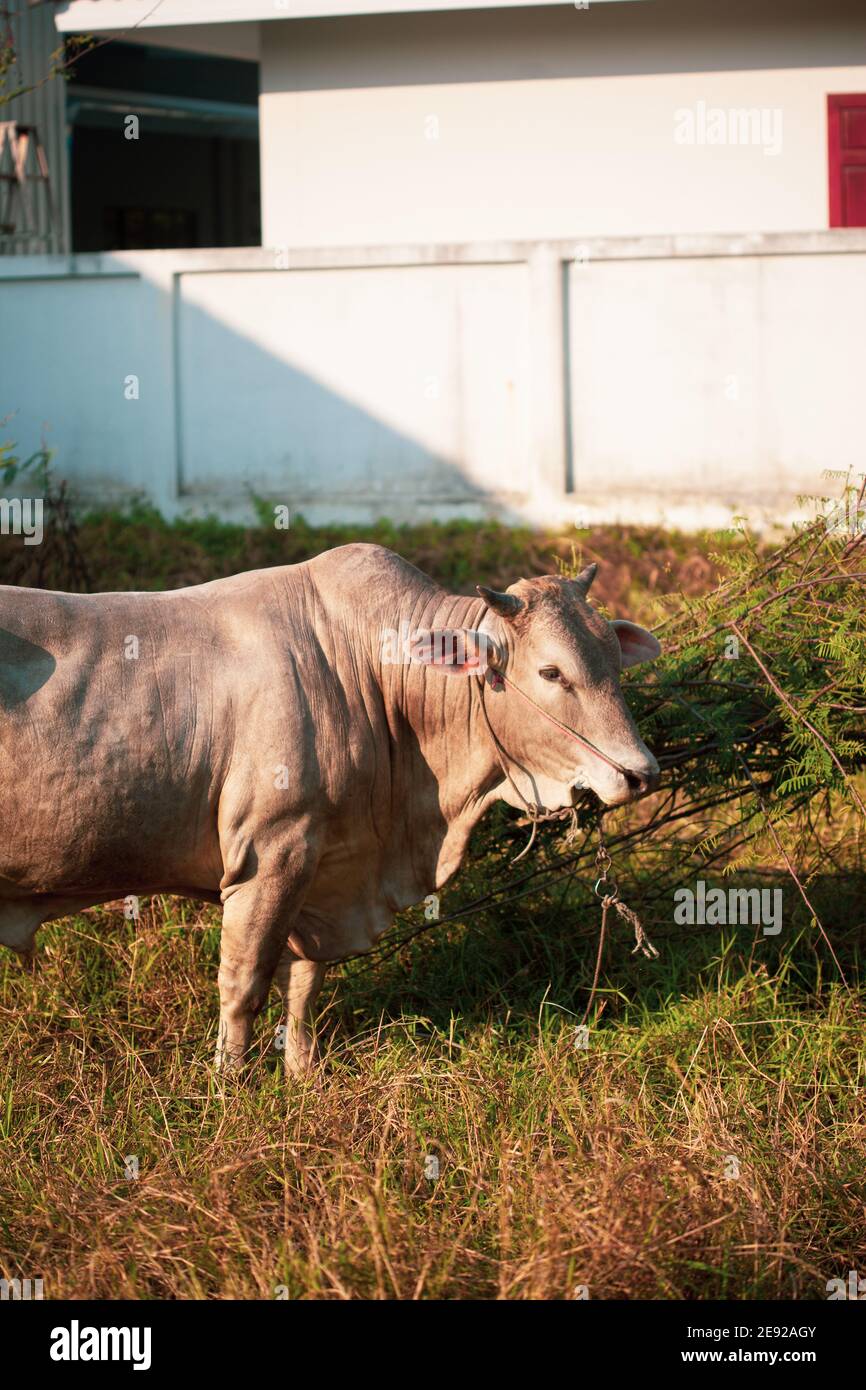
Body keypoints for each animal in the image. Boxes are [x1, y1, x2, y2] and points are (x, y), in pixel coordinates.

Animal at [0, 543, 660, 1076]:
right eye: (551, 672)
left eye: (613, 660)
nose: (641, 773)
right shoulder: (269, 854)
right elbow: (243, 983)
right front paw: (228, 1087)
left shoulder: (322, 866)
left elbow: (303, 983)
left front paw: (301, 1072)